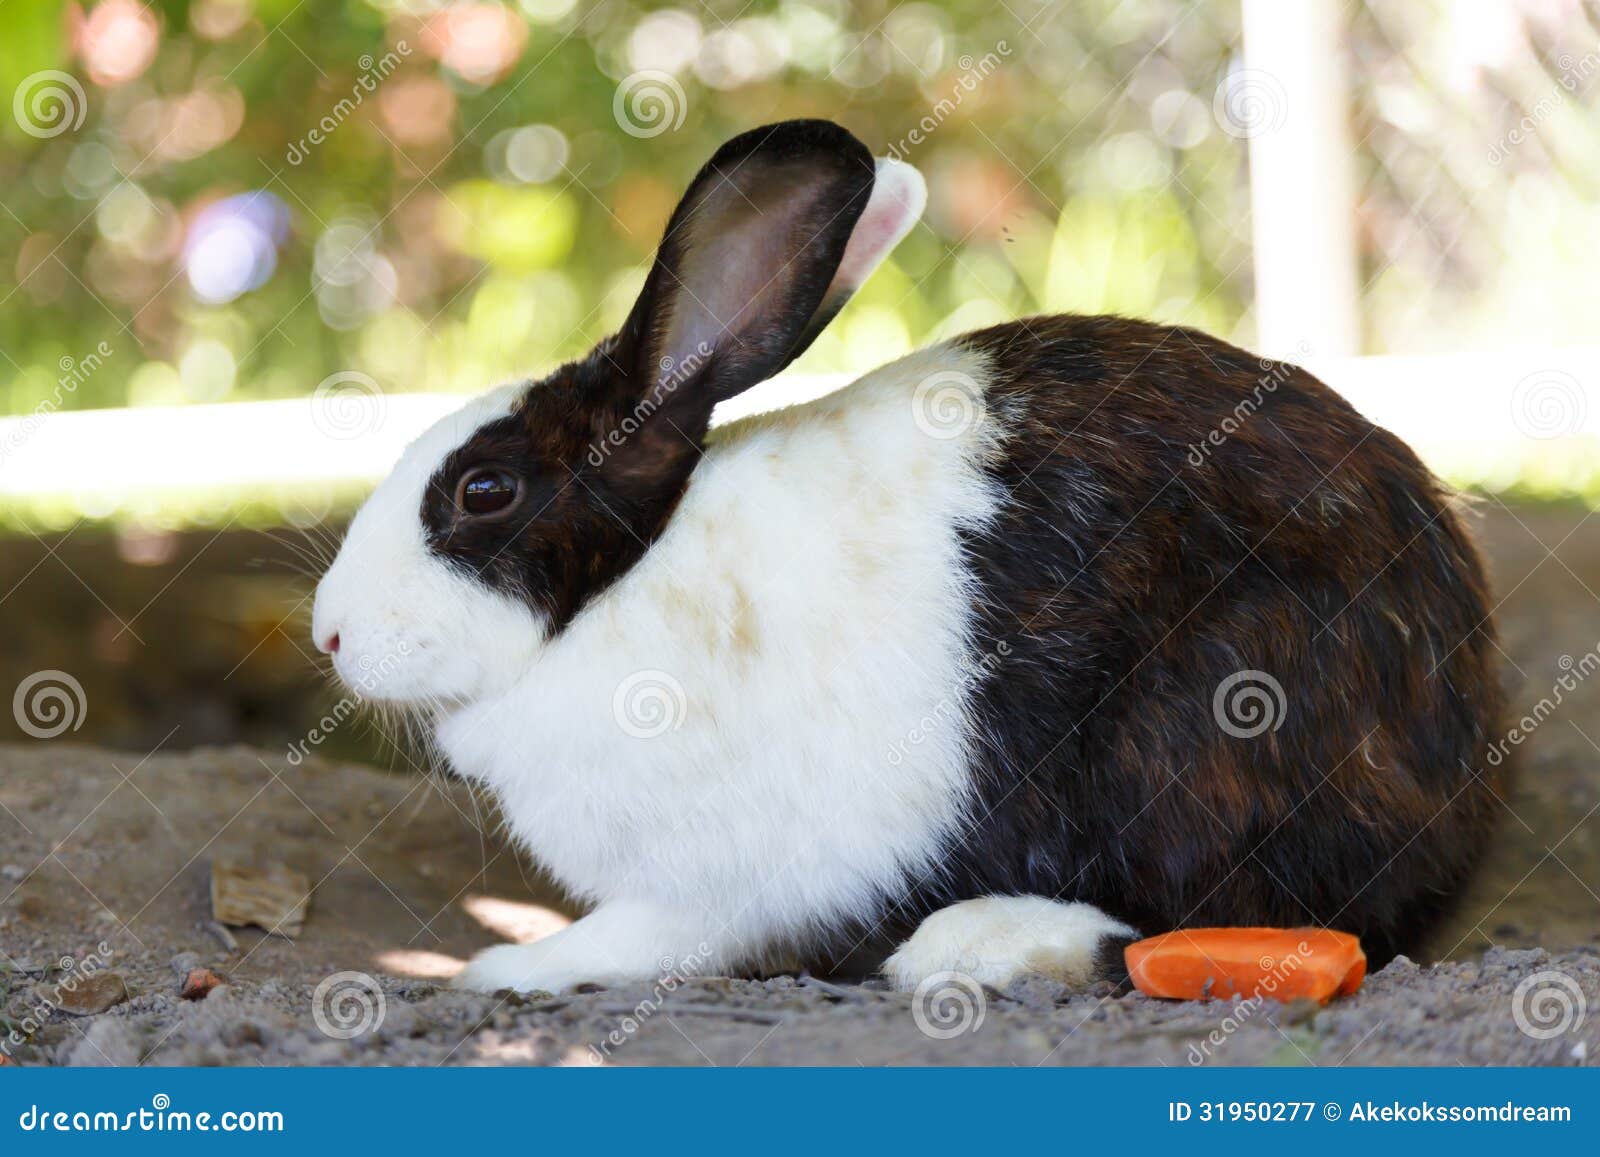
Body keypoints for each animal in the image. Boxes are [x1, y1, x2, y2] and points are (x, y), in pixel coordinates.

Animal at [312, 119, 1506, 997]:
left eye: (484, 490)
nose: (329, 633)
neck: (620, 587)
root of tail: (1465, 747)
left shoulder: (699, 888)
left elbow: (644, 936)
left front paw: (503, 965)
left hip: (1212, 714)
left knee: (1255, 915)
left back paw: (981, 940)